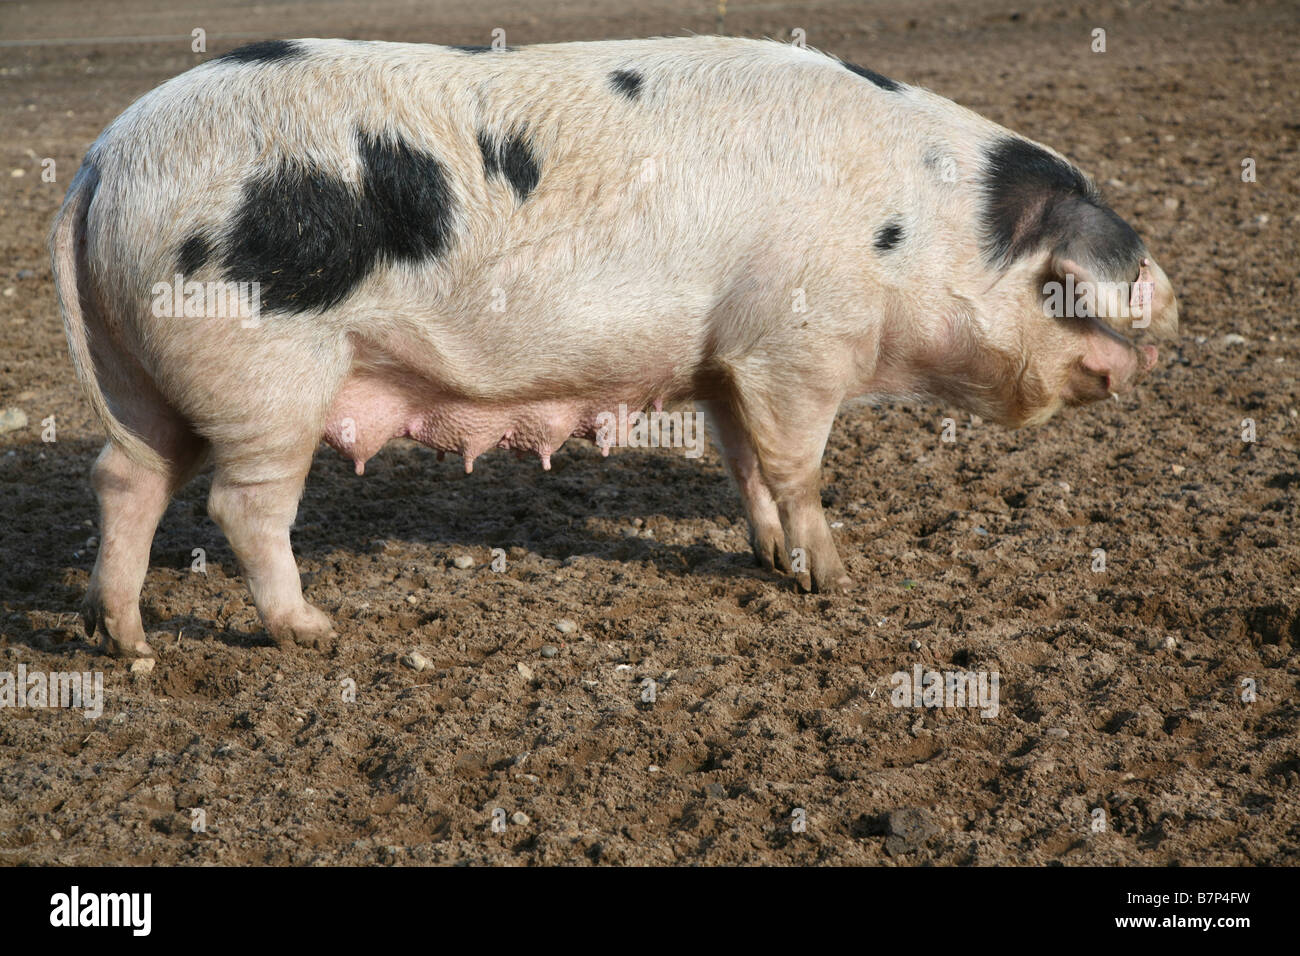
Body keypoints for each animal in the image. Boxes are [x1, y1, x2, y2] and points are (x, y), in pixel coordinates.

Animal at [50, 36, 1178, 659]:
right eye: (1066, 273)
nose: (1161, 324)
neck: (912, 228)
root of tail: (101, 161)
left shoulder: (729, 361)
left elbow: (746, 466)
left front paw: (765, 555)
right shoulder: (797, 346)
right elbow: (800, 466)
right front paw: (835, 579)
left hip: (149, 375)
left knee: (124, 478)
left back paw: (127, 643)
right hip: (262, 372)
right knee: (241, 507)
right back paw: (312, 634)